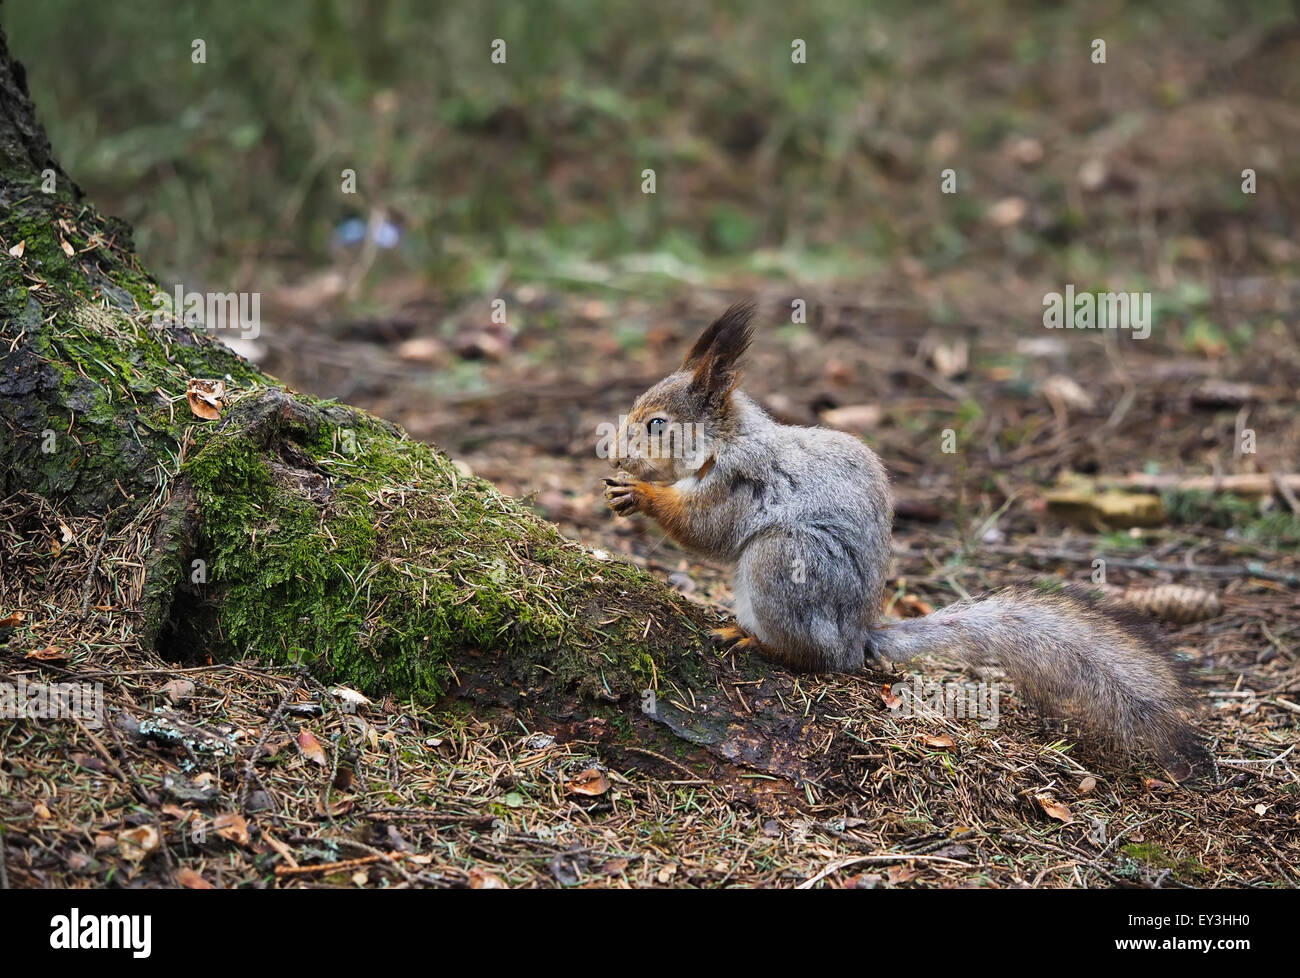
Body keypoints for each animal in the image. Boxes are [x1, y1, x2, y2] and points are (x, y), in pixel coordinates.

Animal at [604, 301, 1201, 762]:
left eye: (657, 424)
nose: (614, 452)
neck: (725, 443)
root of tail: (858, 636)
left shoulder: (740, 481)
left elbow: (706, 529)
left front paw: (642, 495)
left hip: (785, 563)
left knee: (818, 659)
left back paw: (754, 639)